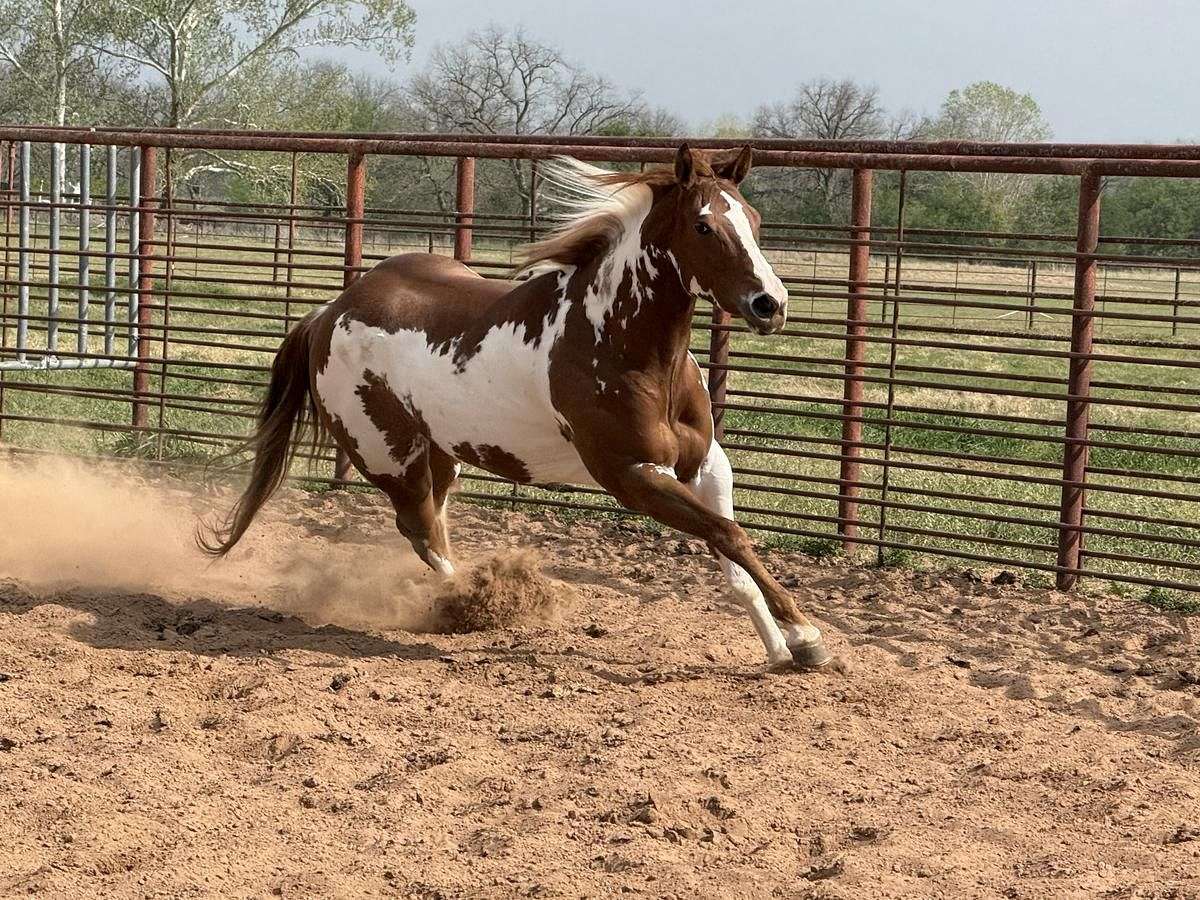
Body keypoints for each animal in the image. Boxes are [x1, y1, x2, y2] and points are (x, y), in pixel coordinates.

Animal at [201, 143, 838, 672]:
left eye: (754, 221)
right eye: (704, 226)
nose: (771, 304)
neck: (622, 343)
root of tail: (329, 312)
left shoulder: (705, 465)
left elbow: (733, 552)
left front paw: (783, 648)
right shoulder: (632, 476)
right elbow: (729, 535)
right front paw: (807, 638)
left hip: (444, 454)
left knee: (435, 521)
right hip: (387, 457)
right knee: (420, 529)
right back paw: (468, 600)